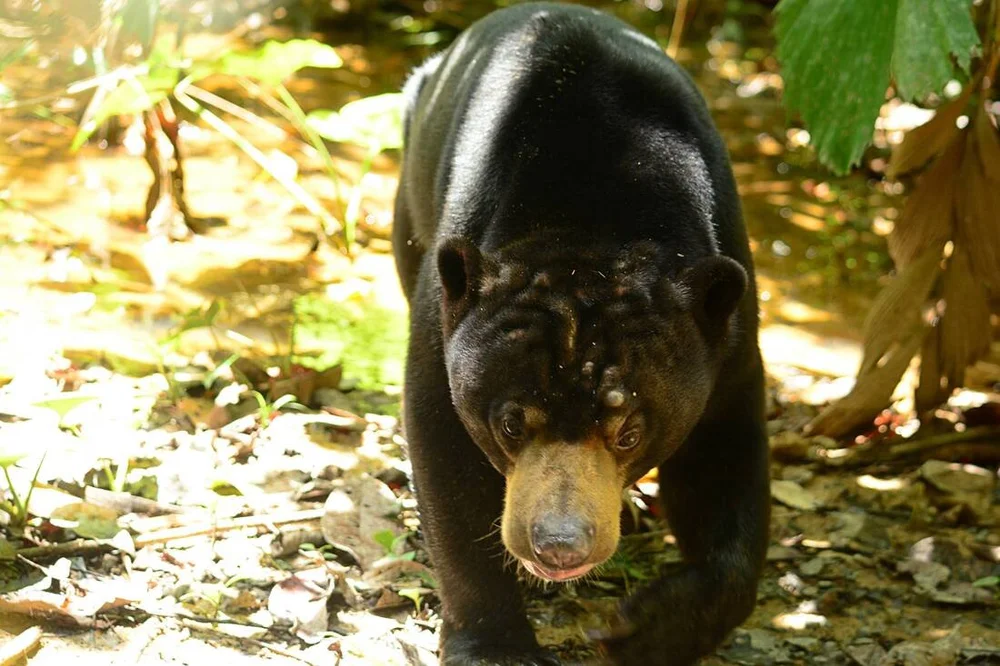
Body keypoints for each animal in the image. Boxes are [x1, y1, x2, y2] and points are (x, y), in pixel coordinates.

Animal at [391, 3, 770, 665]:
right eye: (511, 424)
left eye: (629, 433)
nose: (559, 544)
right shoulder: (443, 318)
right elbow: (445, 457)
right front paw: (497, 646)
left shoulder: (728, 343)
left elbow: (727, 456)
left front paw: (647, 629)